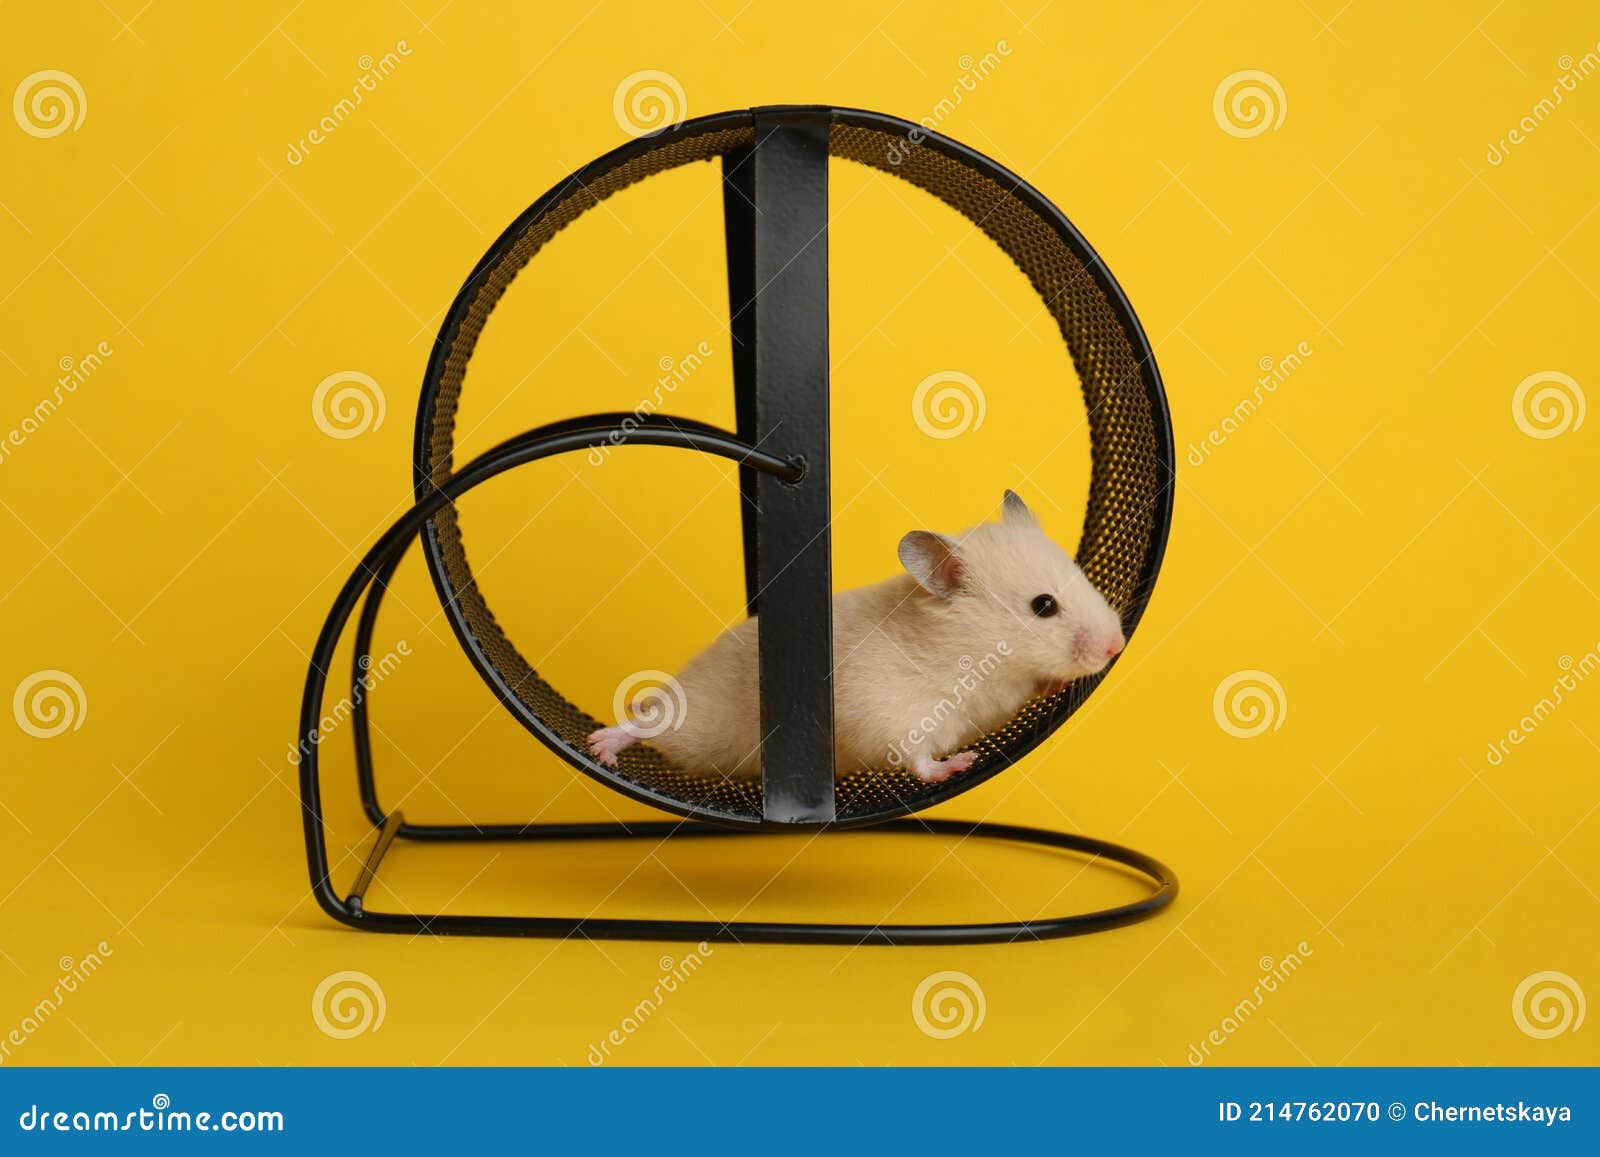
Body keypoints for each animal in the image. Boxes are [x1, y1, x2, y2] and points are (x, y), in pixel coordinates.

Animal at [587, 489, 1126, 785]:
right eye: (1043, 606)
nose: (1116, 646)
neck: (969, 655)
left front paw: (1056, 684)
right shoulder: (882, 707)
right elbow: (915, 753)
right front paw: (959, 763)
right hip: (697, 720)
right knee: (646, 721)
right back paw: (600, 746)